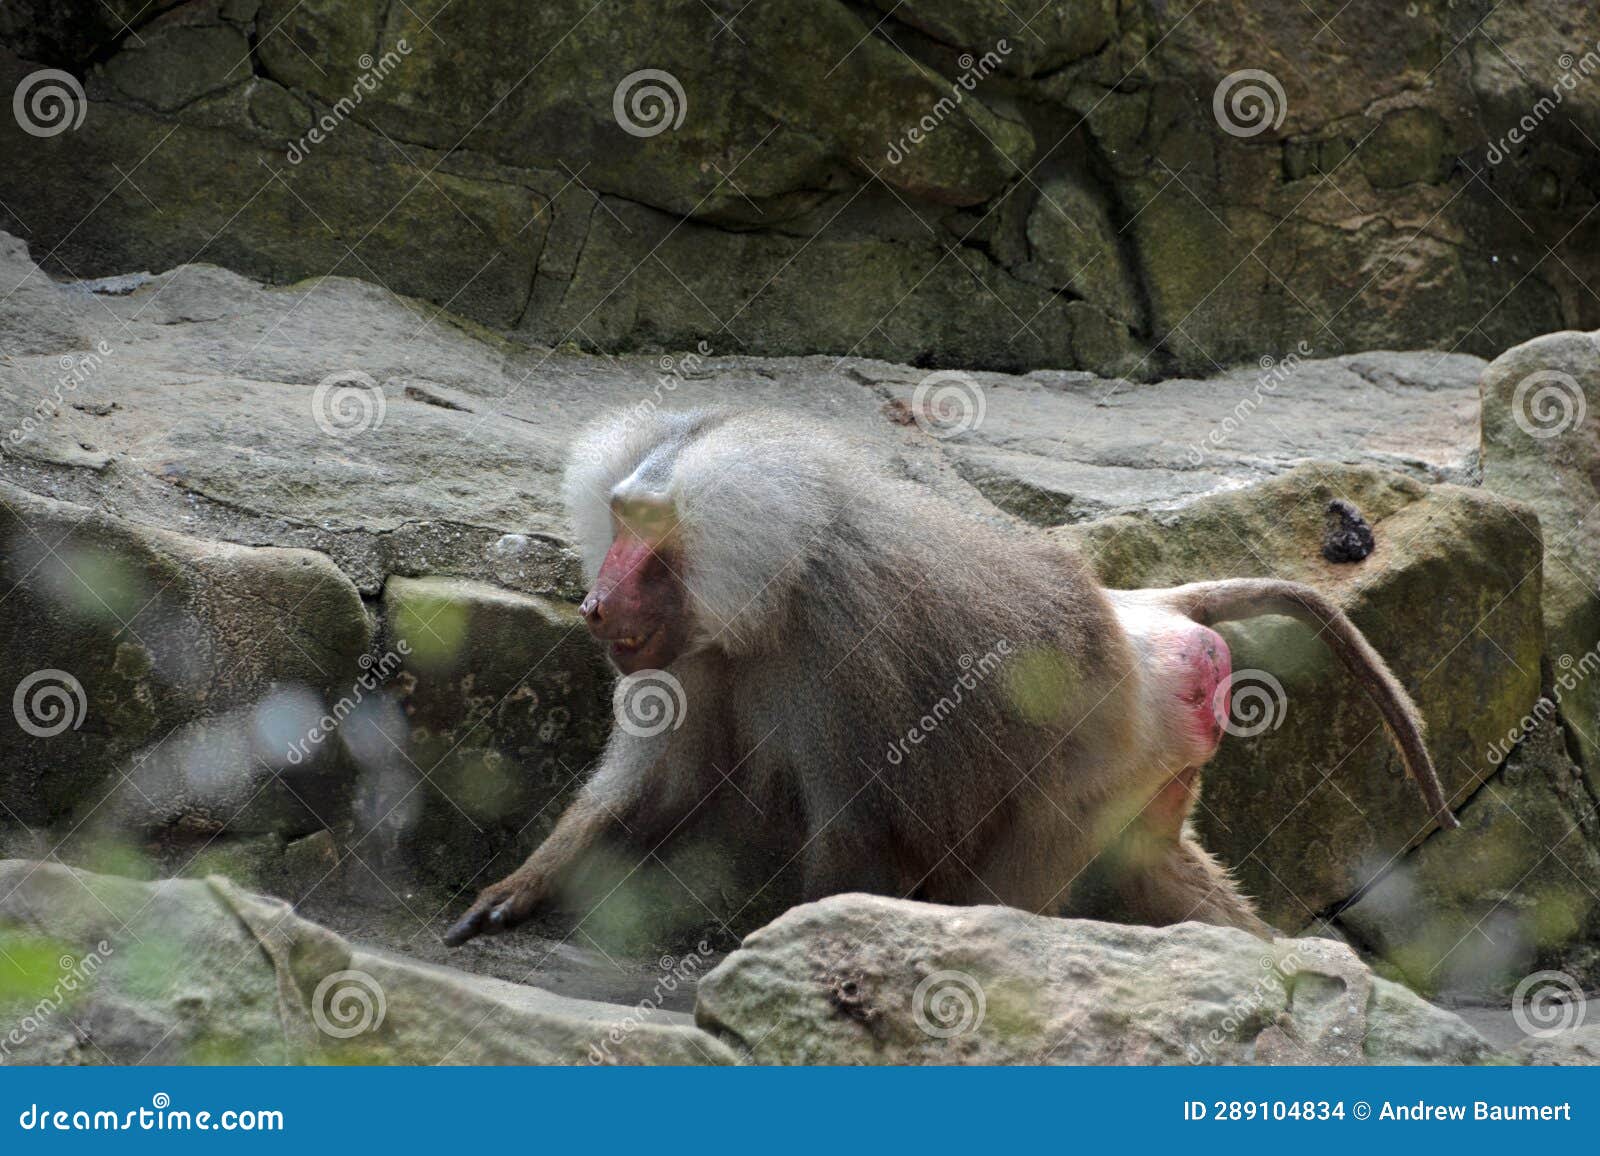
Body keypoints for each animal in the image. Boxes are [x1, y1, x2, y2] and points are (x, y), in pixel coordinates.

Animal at [444, 408, 1456, 946]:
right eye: (617, 518)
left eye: (649, 530)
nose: (592, 606)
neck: (776, 583)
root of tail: (1139, 610)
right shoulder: (695, 653)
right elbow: (656, 785)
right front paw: (515, 889)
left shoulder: (846, 660)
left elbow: (857, 835)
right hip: (1163, 757)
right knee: (1155, 869)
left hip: (1101, 762)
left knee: (1011, 888)